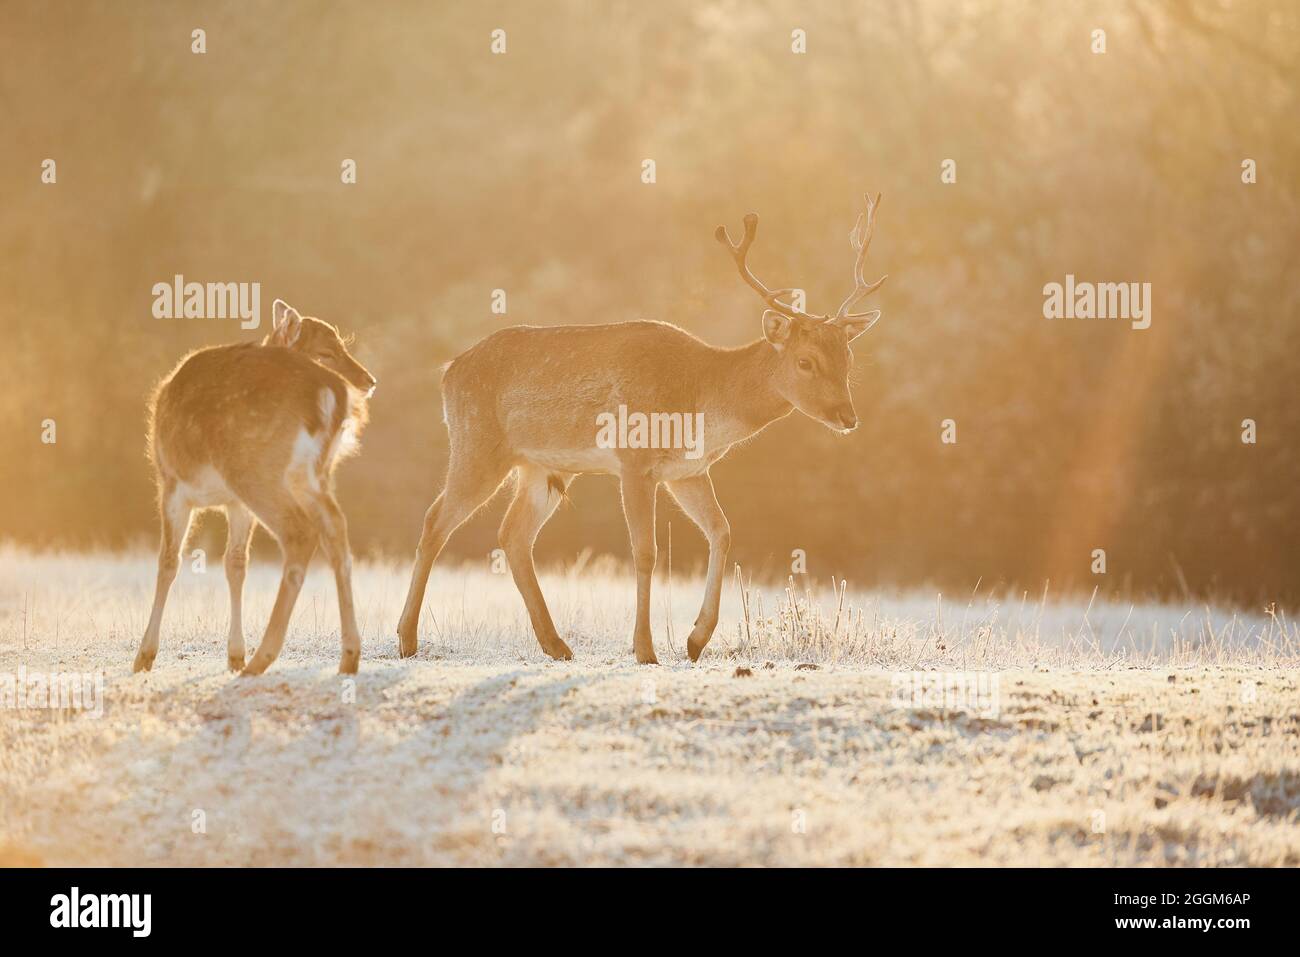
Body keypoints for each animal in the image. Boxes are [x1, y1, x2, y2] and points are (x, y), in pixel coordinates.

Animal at [133, 299, 377, 677]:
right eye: (327, 351)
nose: (369, 381)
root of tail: (331, 395)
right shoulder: (236, 504)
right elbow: (235, 563)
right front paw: (234, 655)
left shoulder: (172, 483)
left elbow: (168, 561)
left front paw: (144, 656)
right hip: (311, 475)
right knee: (336, 529)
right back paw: (348, 657)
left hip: (255, 469)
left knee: (299, 532)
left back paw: (263, 658)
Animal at [397, 193, 886, 665]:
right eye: (805, 361)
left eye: (848, 358)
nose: (848, 417)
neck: (699, 398)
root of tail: (448, 371)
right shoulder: (634, 459)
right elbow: (646, 551)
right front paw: (646, 650)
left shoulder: (688, 471)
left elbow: (723, 530)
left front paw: (695, 640)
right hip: (476, 442)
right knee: (435, 520)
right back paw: (406, 639)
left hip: (542, 466)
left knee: (513, 534)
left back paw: (556, 645)